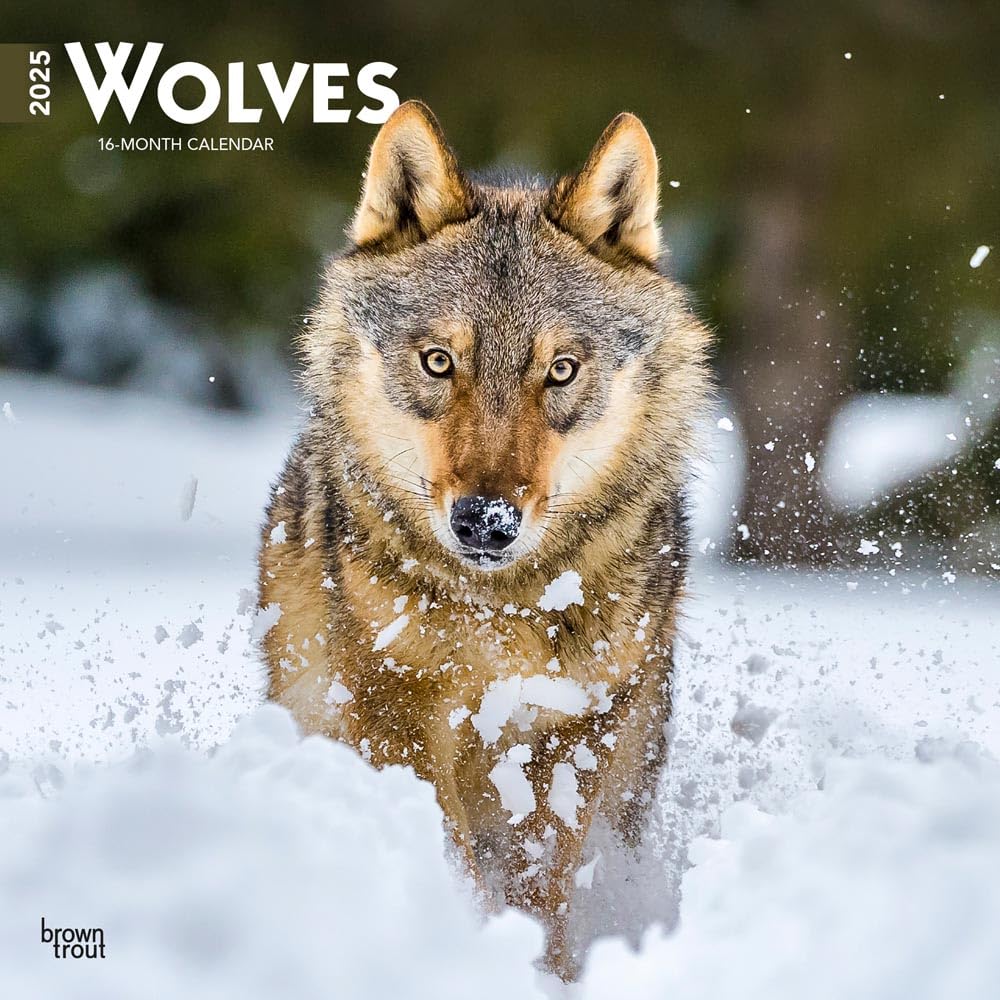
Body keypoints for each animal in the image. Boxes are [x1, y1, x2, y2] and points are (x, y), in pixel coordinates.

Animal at [258, 100, 711, 980]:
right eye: (440, 362)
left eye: (561, 370)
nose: (486, 522)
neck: (502, 613)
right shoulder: (396, 719)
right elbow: (450, 855)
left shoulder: (569, 738)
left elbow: (539, 881)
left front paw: (539, 970)